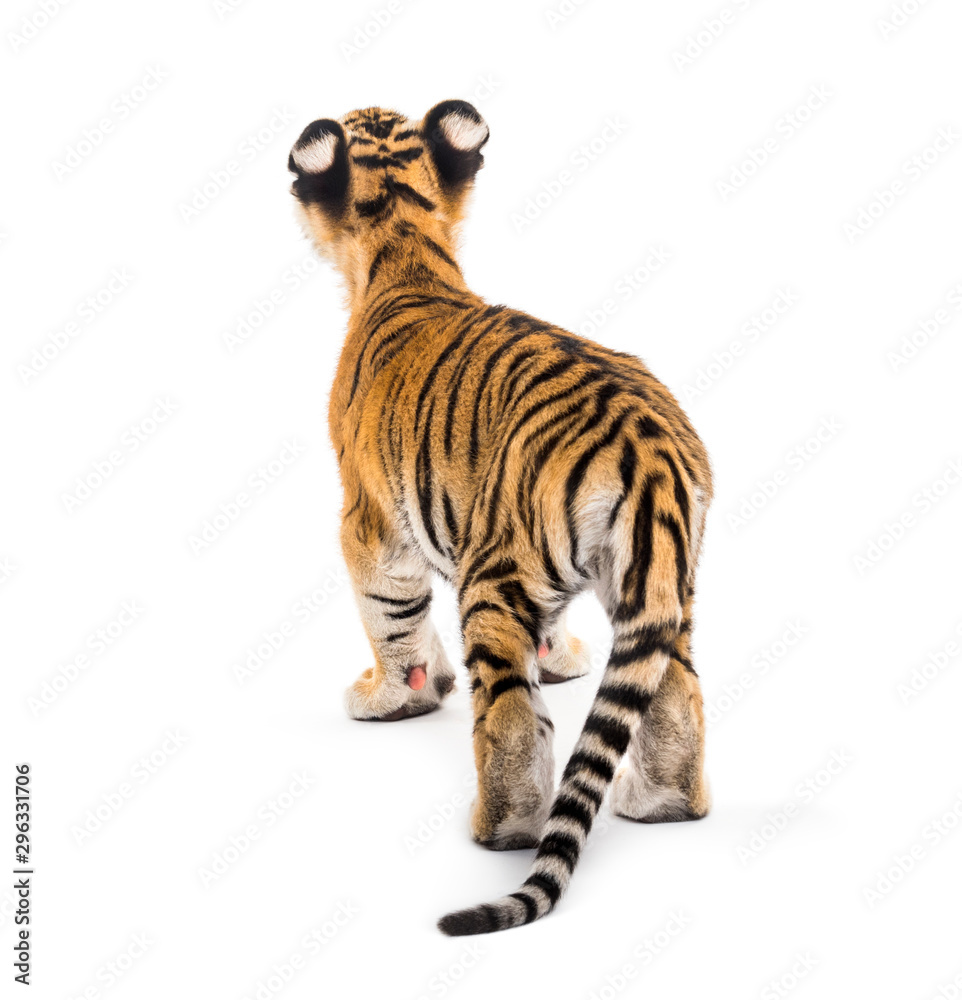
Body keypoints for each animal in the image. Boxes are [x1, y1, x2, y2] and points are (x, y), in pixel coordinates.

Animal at [288, 100, 713, 936]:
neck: (404, 247)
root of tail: (645, 444)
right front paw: (564, 658)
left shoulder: (369, 521)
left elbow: (390, 618)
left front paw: (392, 699)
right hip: (667, 584)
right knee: (677, 694)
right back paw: (661, 807)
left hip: (492, 574)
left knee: (513, 718)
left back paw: (498, 826)